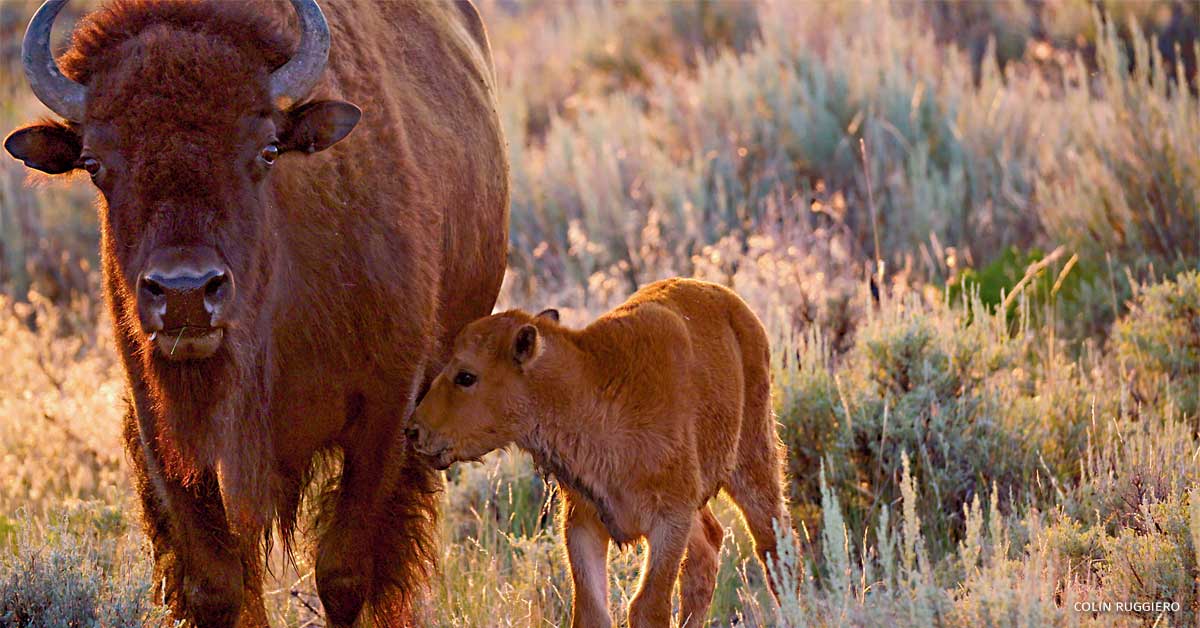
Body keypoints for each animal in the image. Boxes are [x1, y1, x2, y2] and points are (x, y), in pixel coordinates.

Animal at [4, 0, 509, 625]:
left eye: (266, 150)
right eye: (95, 163)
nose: (186, 292)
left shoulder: (386, 412)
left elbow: (343, 573)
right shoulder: (165, 430)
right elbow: (216, 582)